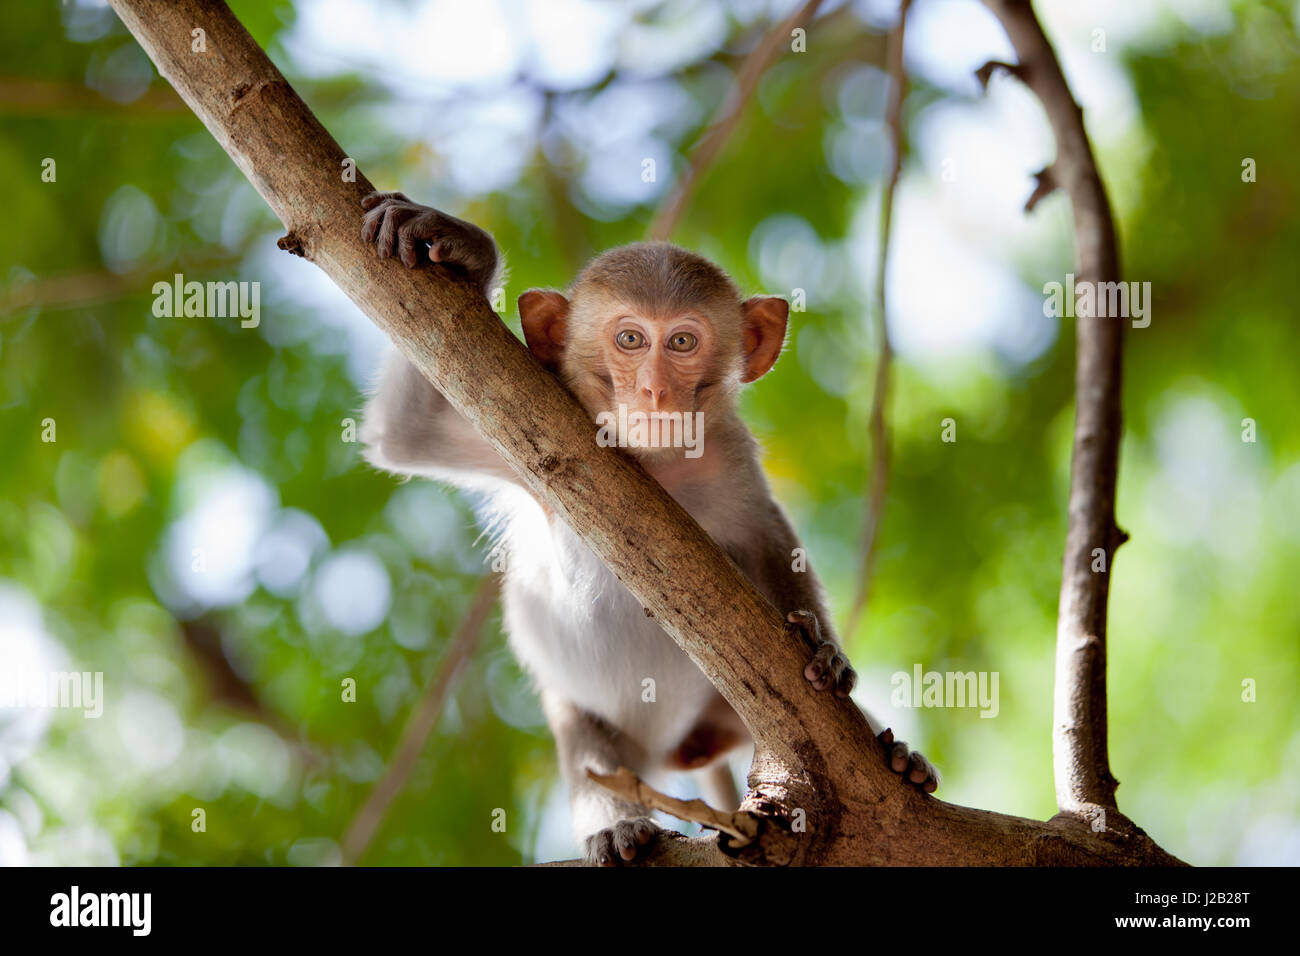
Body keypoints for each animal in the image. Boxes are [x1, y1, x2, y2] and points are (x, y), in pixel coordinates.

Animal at [358, 191, 939, 865]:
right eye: (631, 339)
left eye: (682, 341)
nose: (655, 391)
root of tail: (678, 748)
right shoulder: (521, 426)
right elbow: (406, 430)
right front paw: (463, 248)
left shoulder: (732, 455)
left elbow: (770, 544)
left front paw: (821, 645)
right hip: (591, 720)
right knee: (591, 752)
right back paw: (615, 825)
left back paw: (896, 755)